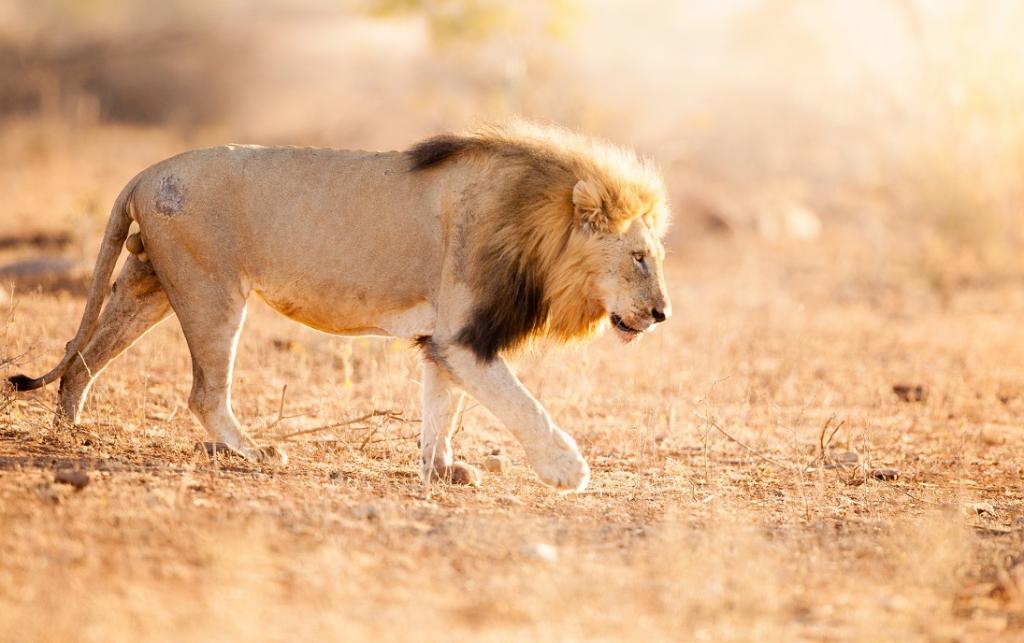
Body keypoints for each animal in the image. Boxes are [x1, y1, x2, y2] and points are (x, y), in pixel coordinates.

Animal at [7, 121, 671, 491]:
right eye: (640, 257)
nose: (663, 315)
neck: (538, 224)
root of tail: (145, 172)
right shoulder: (466, 335)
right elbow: (522, 405)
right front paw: (567, 470)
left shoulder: (446, 337)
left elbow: (441, 407)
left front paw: (441, 471)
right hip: (212, 291)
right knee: (204, 393)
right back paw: (254, 452)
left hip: (150, 282)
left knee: (83, 359)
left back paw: (70, 431)